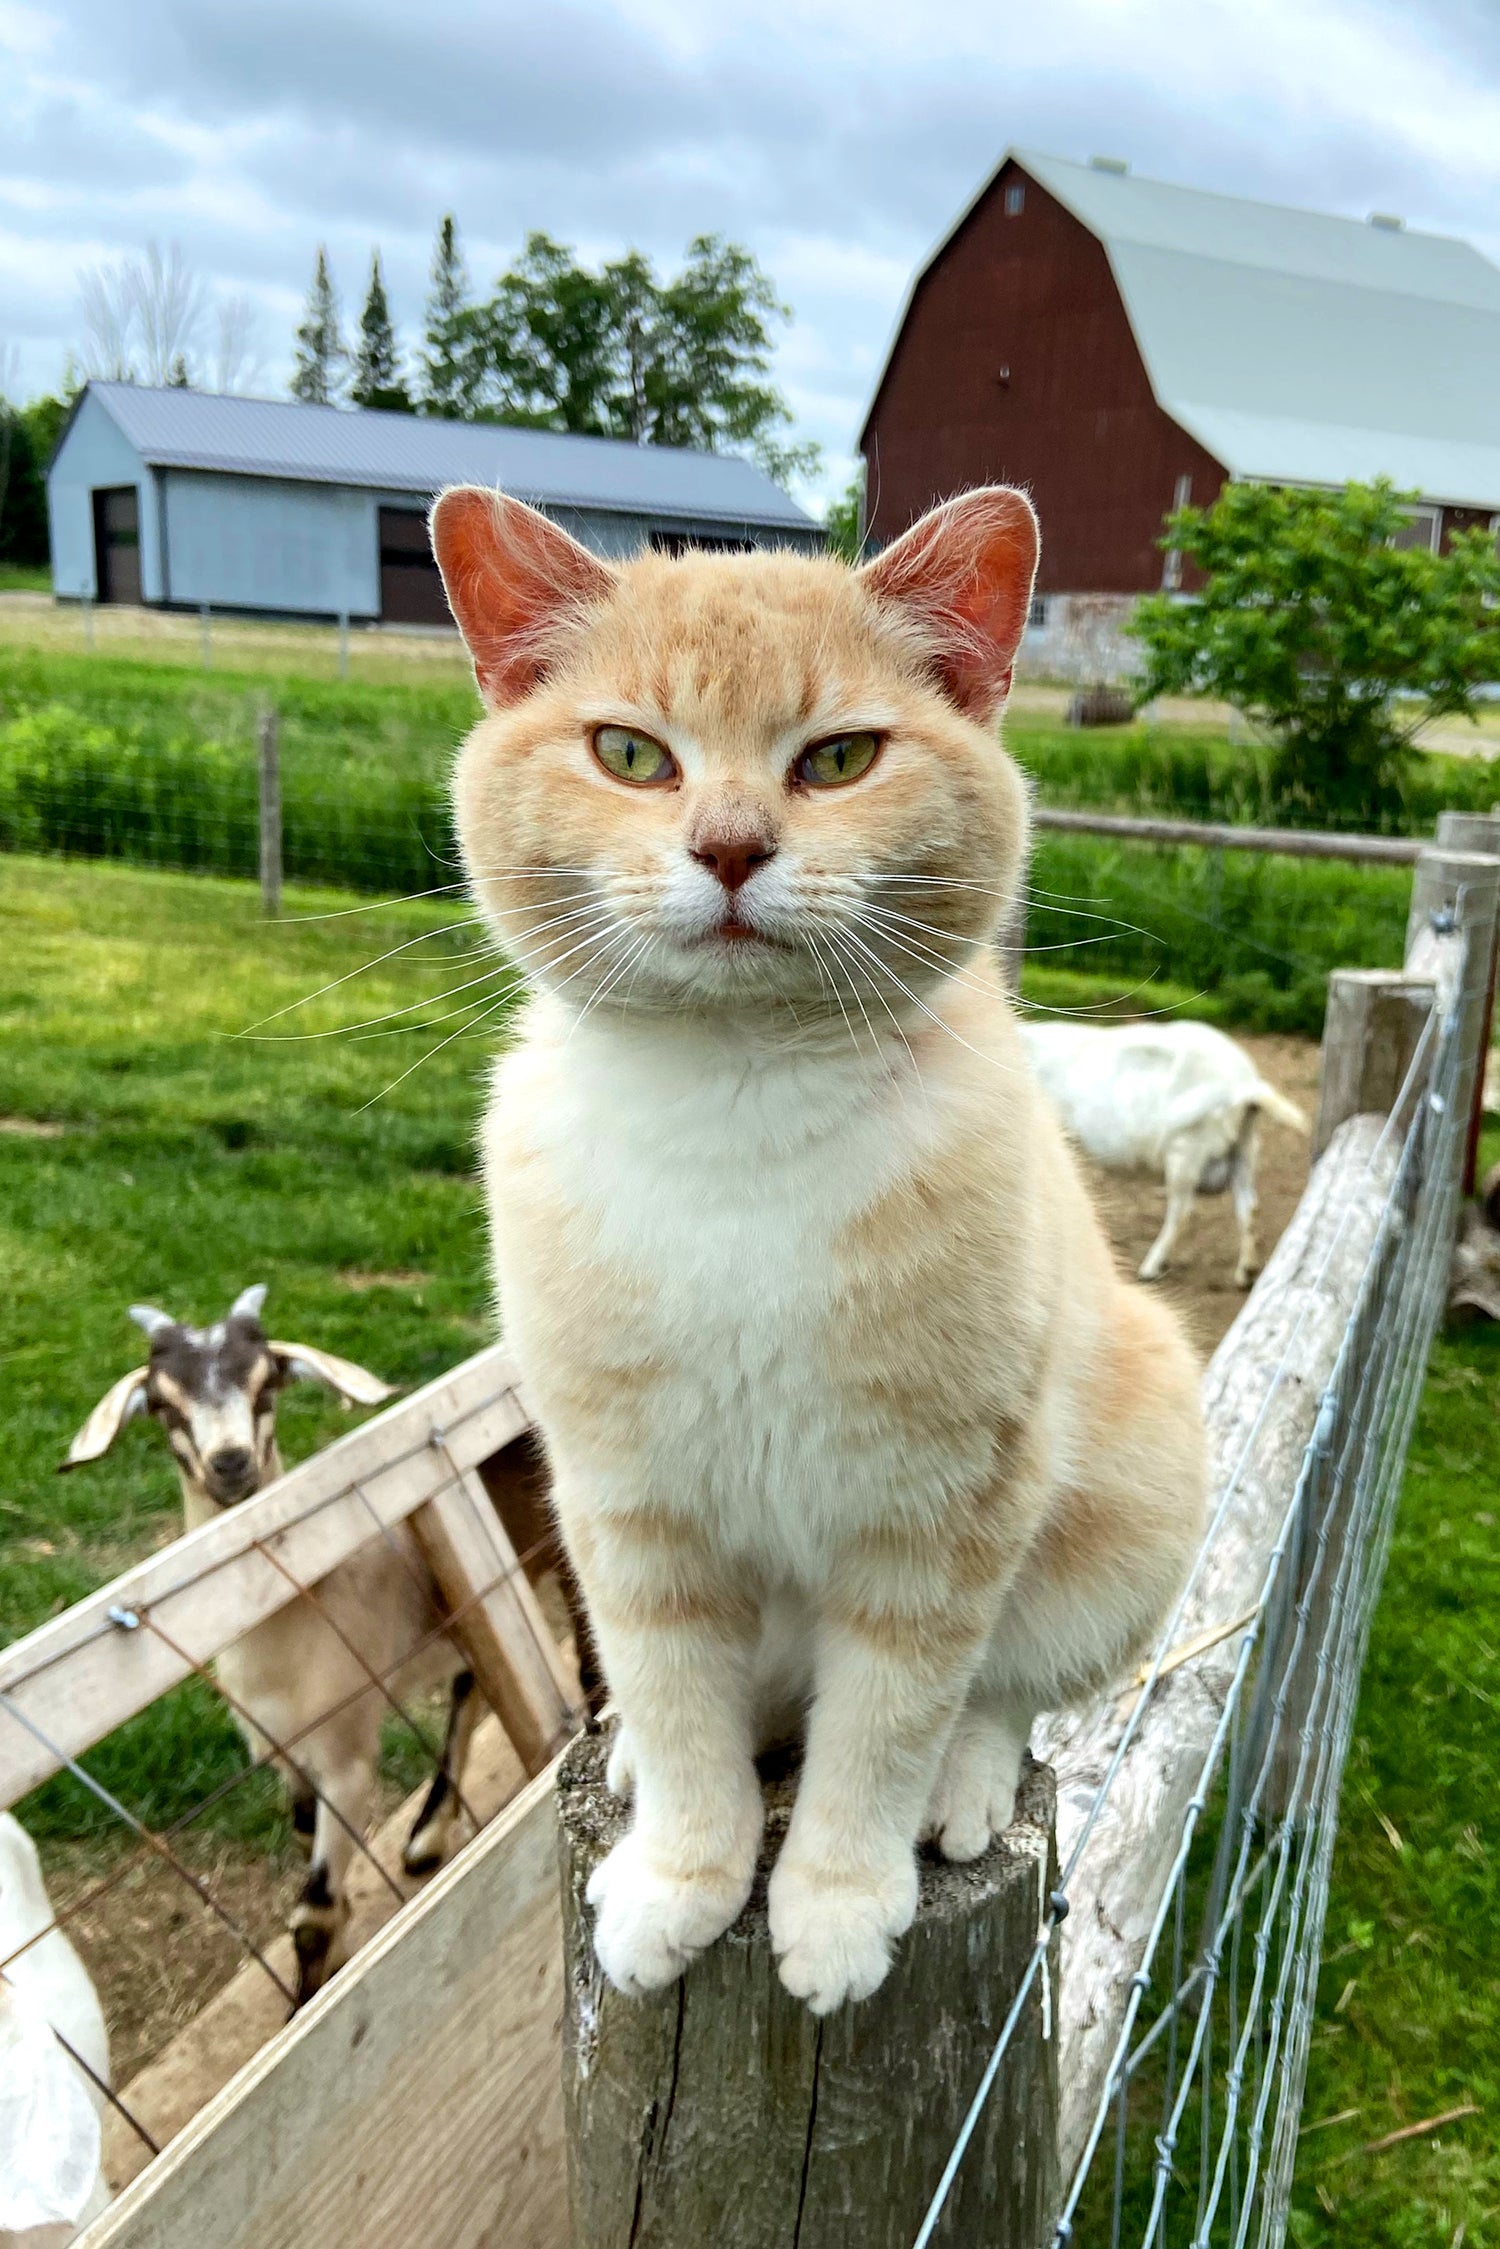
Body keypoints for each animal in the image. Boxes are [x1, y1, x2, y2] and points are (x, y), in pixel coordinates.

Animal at [62, 1287, 482, 2005]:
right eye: (163, 1402)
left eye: (266, 1385)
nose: (230, 1462)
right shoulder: (281, 1749)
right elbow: (305, 1832)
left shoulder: (347, 1754)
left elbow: (311, 1916)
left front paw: (312, 2001)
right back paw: (426, 1837)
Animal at [1019, 1020, 1309, 1289]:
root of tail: (1244, 1083)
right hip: (1243, 1149)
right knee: (1248, 1206)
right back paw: (1245, 1272)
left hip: (1187, 1148)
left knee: (1182, 1211)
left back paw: (1151, 1266)